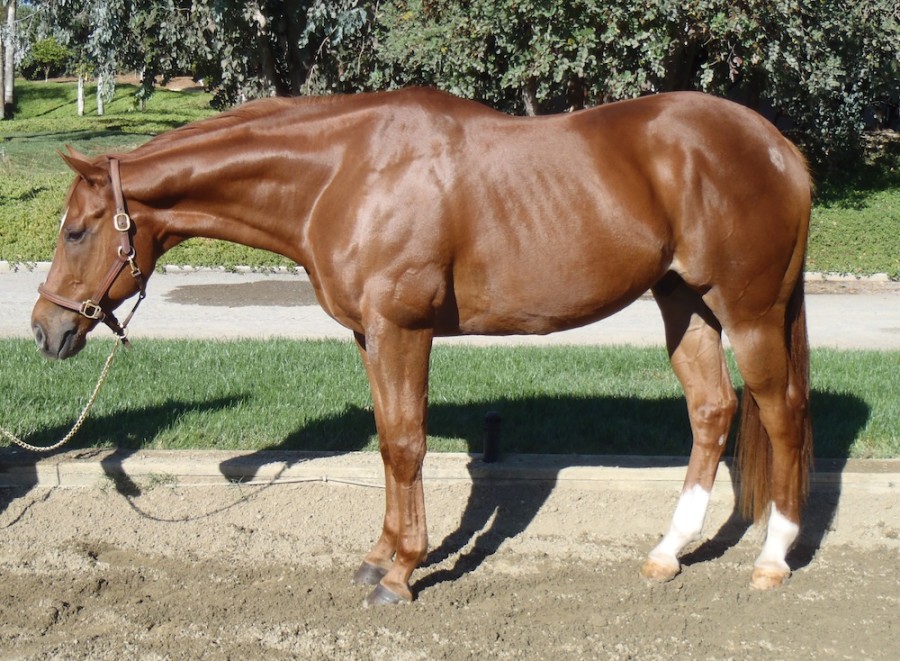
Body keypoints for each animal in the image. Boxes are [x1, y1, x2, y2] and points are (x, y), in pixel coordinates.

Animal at [31, 88, 812, 606]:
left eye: (77, 230)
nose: (45, 329)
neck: (343, 174)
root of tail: (778, 147)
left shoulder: (401, 331)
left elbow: (407, 443)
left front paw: (402, 572)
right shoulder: (368, 336)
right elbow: (387, 441)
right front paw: (378, 556)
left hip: (749, 310)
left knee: (780, 413)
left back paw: (774, 557)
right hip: (685, 303)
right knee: (712, 411)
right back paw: (666, 554)